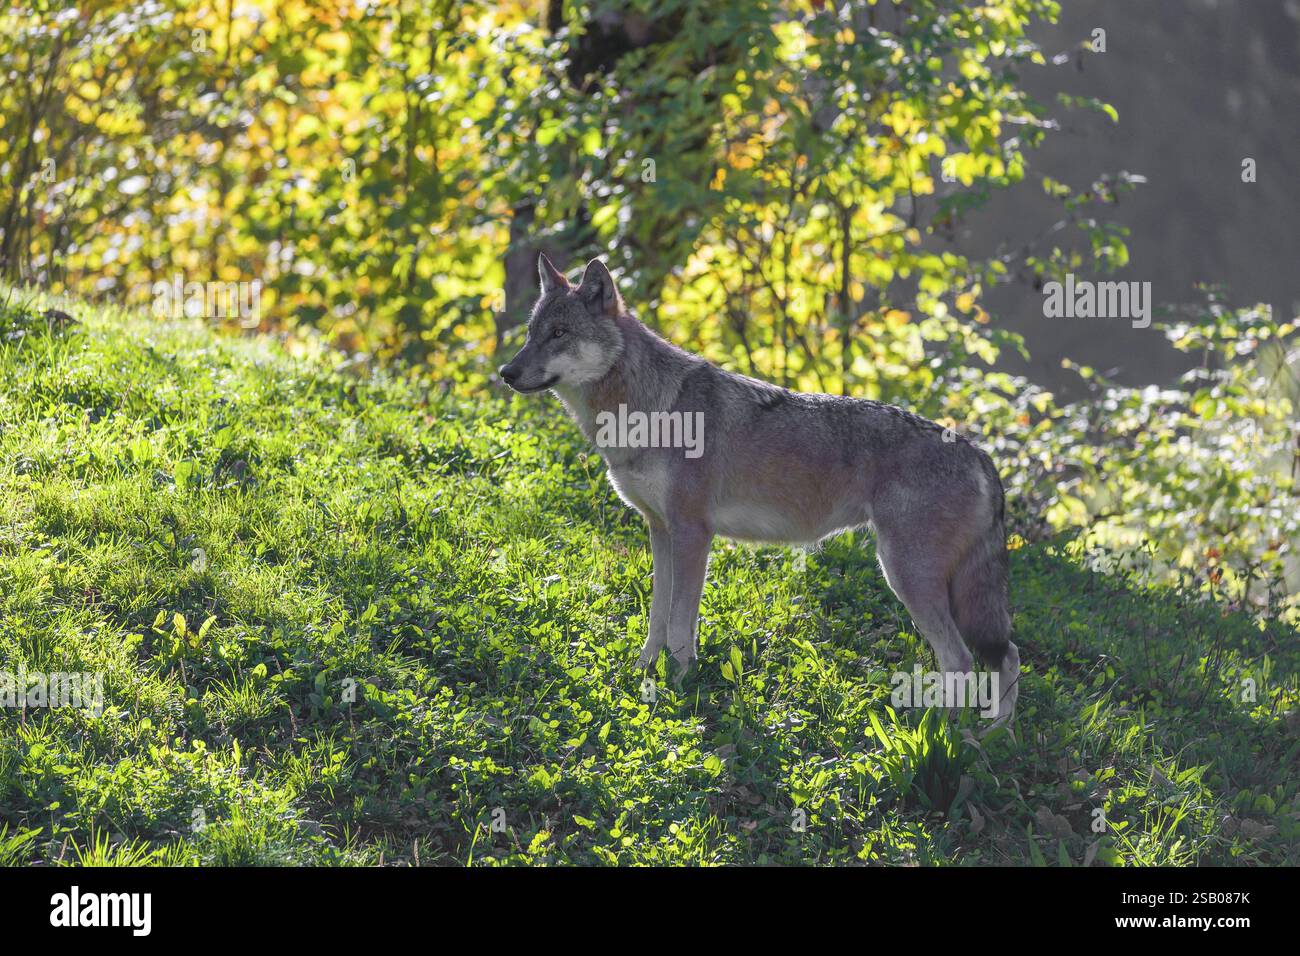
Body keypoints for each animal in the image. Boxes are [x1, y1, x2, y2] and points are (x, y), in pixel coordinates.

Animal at [499, 254, 1020, 721]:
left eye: (559, 334)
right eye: (531, 333)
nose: (506, 373)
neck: (642, 410)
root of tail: (981, 454)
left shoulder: (693, 533)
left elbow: (680, 624)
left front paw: (680, 685)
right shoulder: (661, 532)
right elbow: (657, 617)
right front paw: (644, 673)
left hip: (904, 575)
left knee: (964, 660)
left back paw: (944, 740)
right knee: (1007, 656)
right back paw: (992, 736)